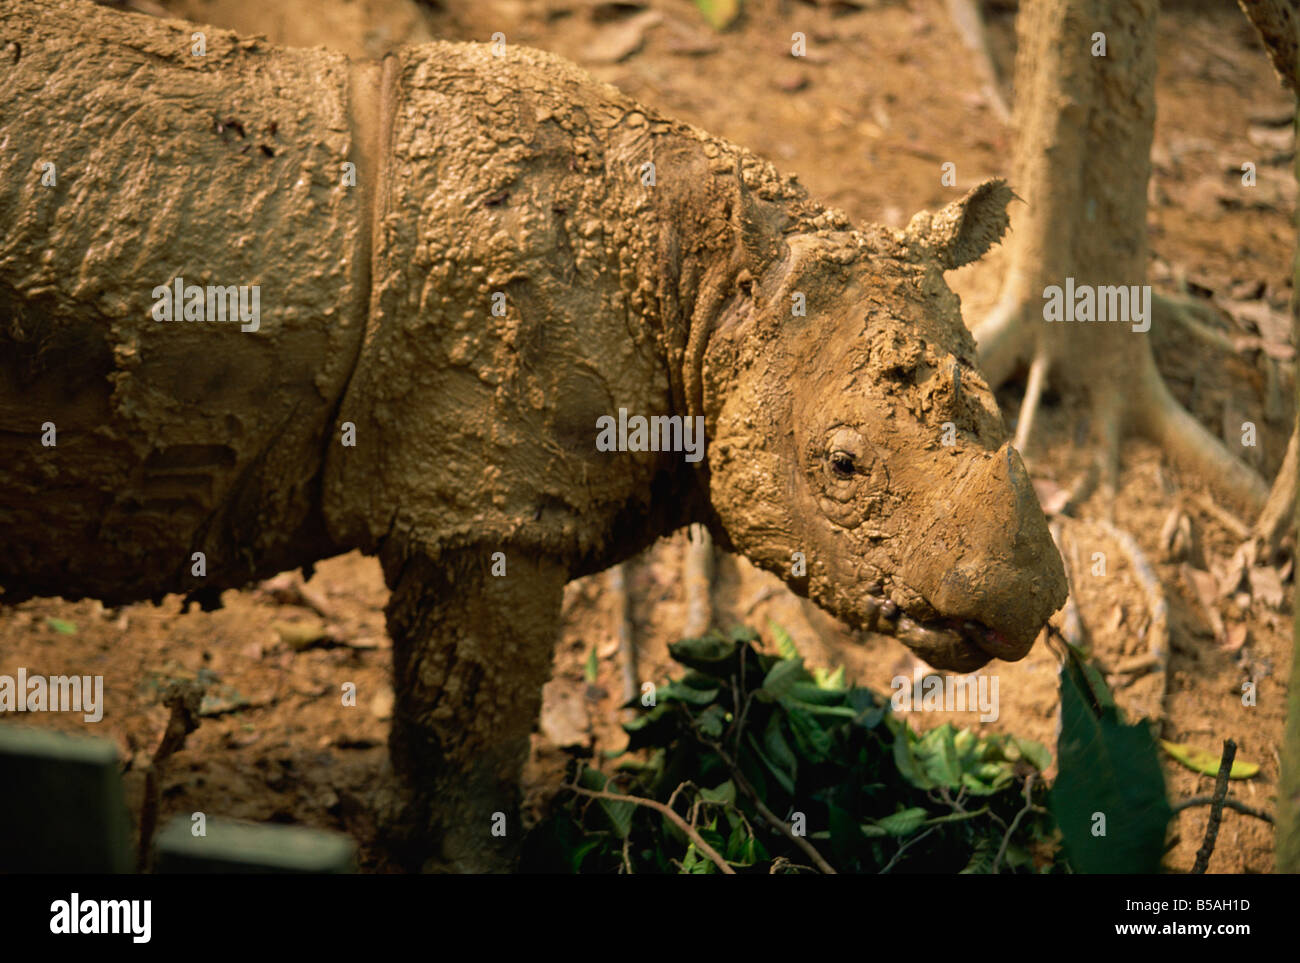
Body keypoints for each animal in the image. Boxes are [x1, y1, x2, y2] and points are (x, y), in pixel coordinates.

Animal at [0, 0, 1067, 871]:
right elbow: (474, 723)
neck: (703, 292)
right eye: (841, 466)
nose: (1022, 607)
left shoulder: (465, 500)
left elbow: (432, 710)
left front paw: (401, 836)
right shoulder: (493, 508)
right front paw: (478, 857)